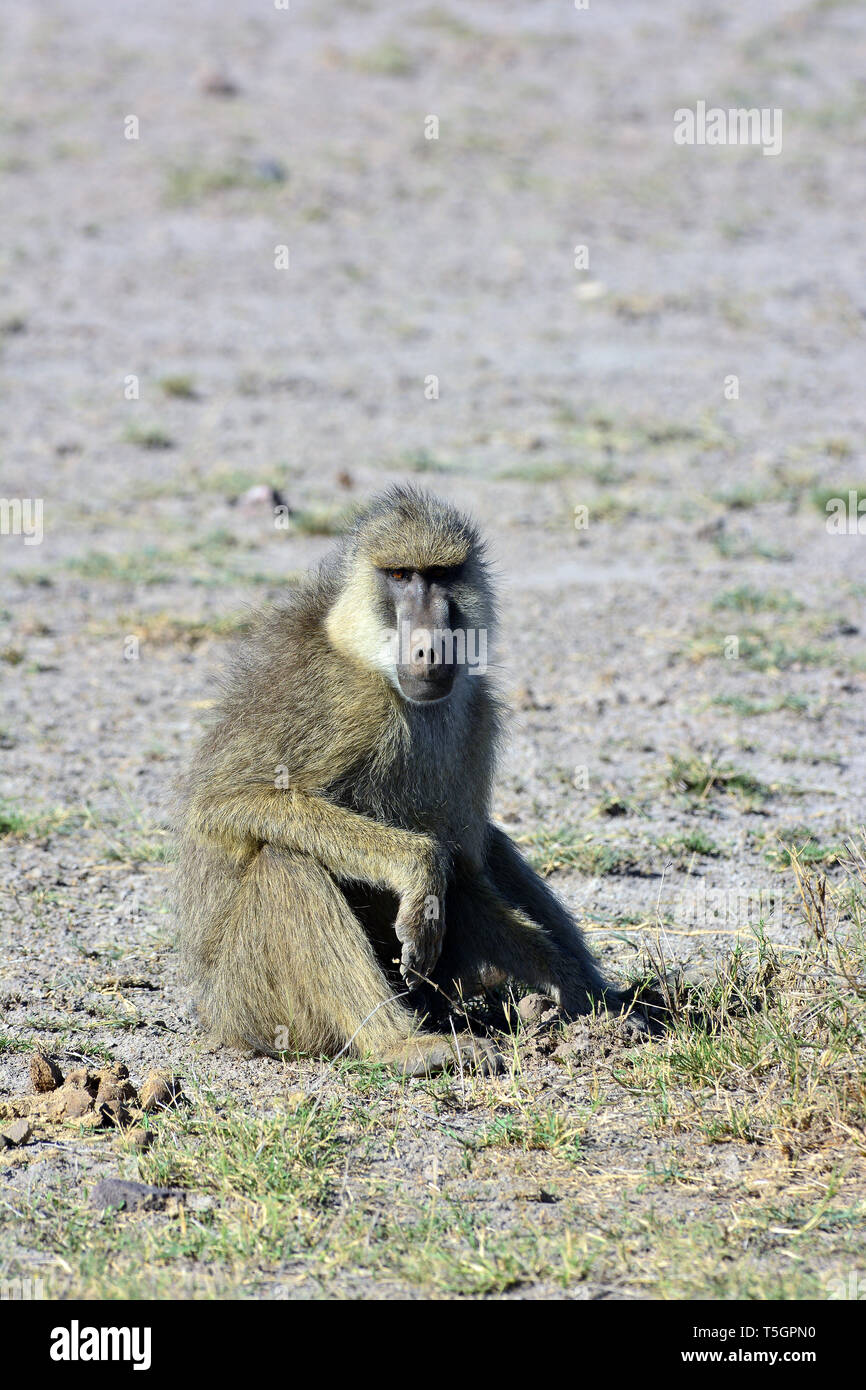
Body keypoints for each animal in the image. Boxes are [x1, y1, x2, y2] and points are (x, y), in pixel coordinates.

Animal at [175, 485, 637, 1075]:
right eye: (399, 575)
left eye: (440, 575)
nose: (430, 645)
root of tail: (213, 1013)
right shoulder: (340, 704)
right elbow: (227, 800)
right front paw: (419, 869)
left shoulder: (476, 718)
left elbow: (466, 871)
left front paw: (576, 989)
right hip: (254, 1003)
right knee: (286, 862)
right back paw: (403, 1046)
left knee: (490, 848)